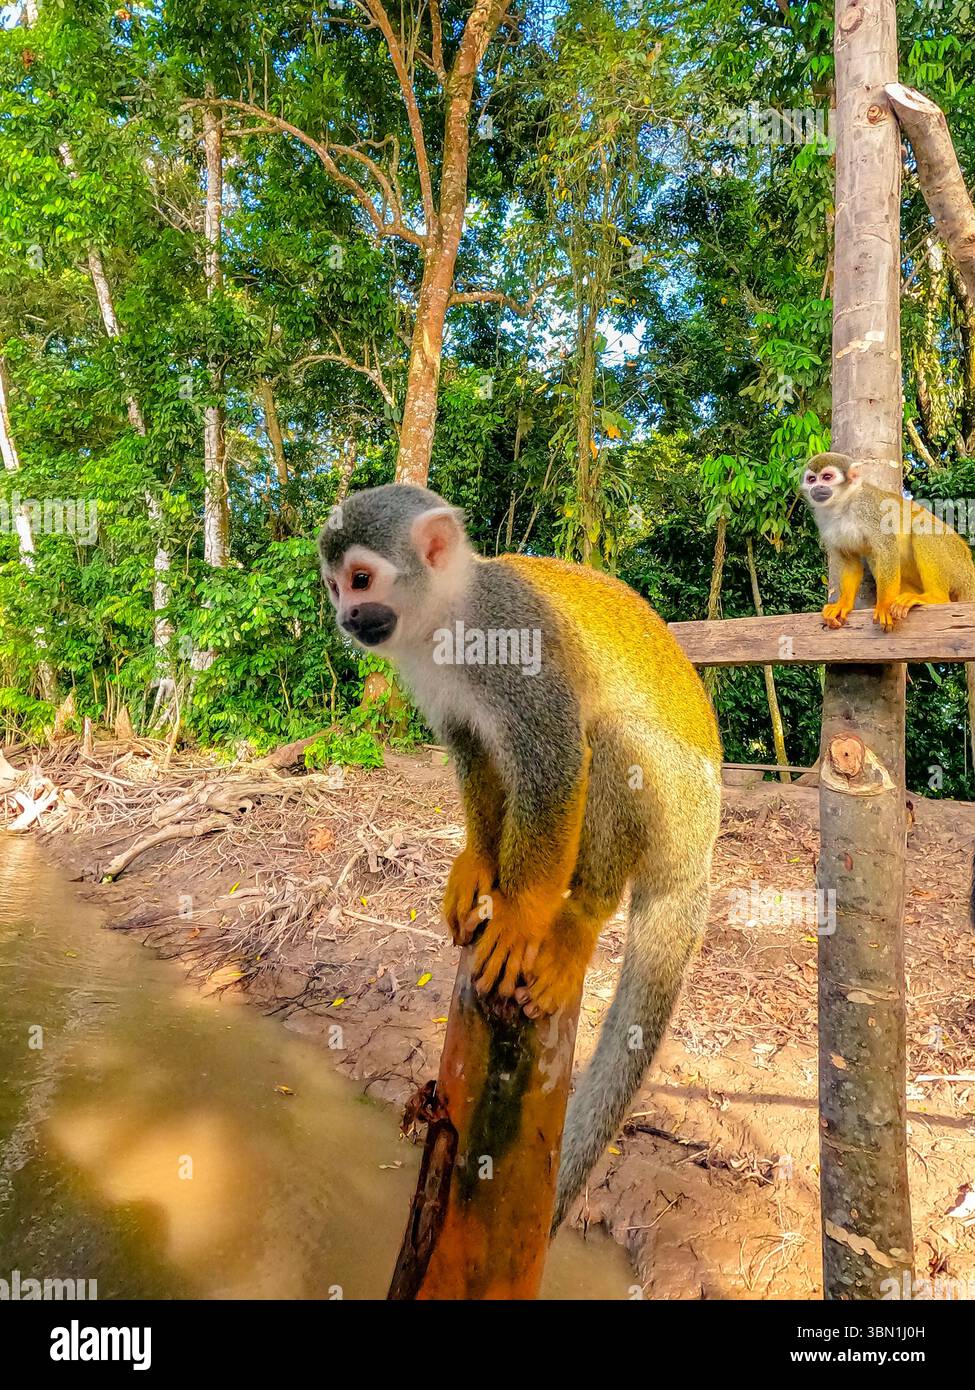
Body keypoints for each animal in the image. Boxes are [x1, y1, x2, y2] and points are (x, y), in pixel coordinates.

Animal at [318, 482, 722, 1228]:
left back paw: (579, 918)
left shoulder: (510, 644)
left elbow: (556, 756)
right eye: (334, 586)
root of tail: (699, 862)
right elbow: (471, 748)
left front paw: (522, 916)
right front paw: (477, 867)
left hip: (680, 811)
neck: (449, 618)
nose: (347, 617)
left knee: (610, 738)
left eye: (360, 580)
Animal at [800, 451, 975, 631]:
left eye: (827, 477)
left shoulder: (868, 508)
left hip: (958, 566)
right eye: (812, 479)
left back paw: (935, 597)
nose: (817, 487)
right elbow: (850, 560)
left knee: (922, 527)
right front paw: (843, 604)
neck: (842, 504)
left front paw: (884, 604)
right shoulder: (824, 521)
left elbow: (887, 548)